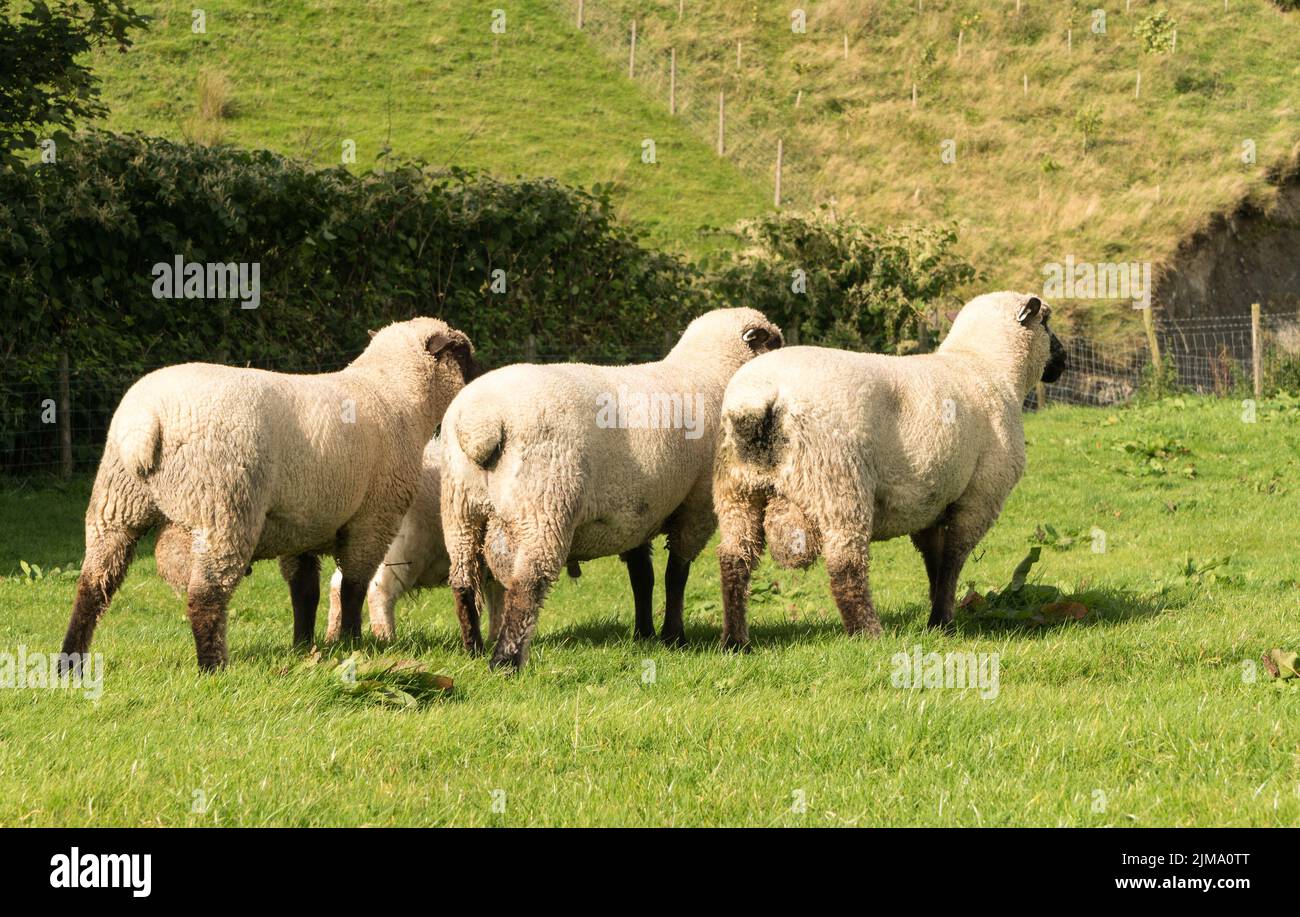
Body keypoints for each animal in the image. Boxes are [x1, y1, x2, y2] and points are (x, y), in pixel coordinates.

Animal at [59, 318, 478, 672]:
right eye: (463, 353)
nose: (480, 381)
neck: (395, 393)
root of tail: (146, 421)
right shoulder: (373, 520)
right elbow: (354, 588)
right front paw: (352, 641)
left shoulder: (303, 523)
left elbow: (305, 591)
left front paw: (304, 646)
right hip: (225, 511)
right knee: (204, 596)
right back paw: (212, 667)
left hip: (116, 506)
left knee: (92, 587)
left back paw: (70, 663)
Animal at [321, 438, 505, 643]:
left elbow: (496, 605)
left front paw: (494, 639)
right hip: (400, 548)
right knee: (379, 590)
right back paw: (385, 638)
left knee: (339, 584)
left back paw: (334, 637)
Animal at [440, 307, 784, 671]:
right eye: (774, 343)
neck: (711, 369)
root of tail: (481, 423)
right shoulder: (696, 506)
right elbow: (676, 574)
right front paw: (674, 636)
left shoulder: (637, 511)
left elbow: (642, 576)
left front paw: (645, 634)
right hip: (544, 504)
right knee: (527, 584)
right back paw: (505, 661)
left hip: (460, 510)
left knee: (462, 581)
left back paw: (473, 649)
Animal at [712, 291, 1067, 649]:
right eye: (1047, 322)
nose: (1063, 360)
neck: (988, 365)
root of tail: (760, 398)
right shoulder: (979, 497)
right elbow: (952, 561)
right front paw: (943, 620)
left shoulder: (931, 503)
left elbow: (935, 562)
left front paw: (939, 623)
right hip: (839, 486)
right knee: (845, 566)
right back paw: (868, 634)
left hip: (736, 490)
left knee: (734, 559)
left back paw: (735, 640)